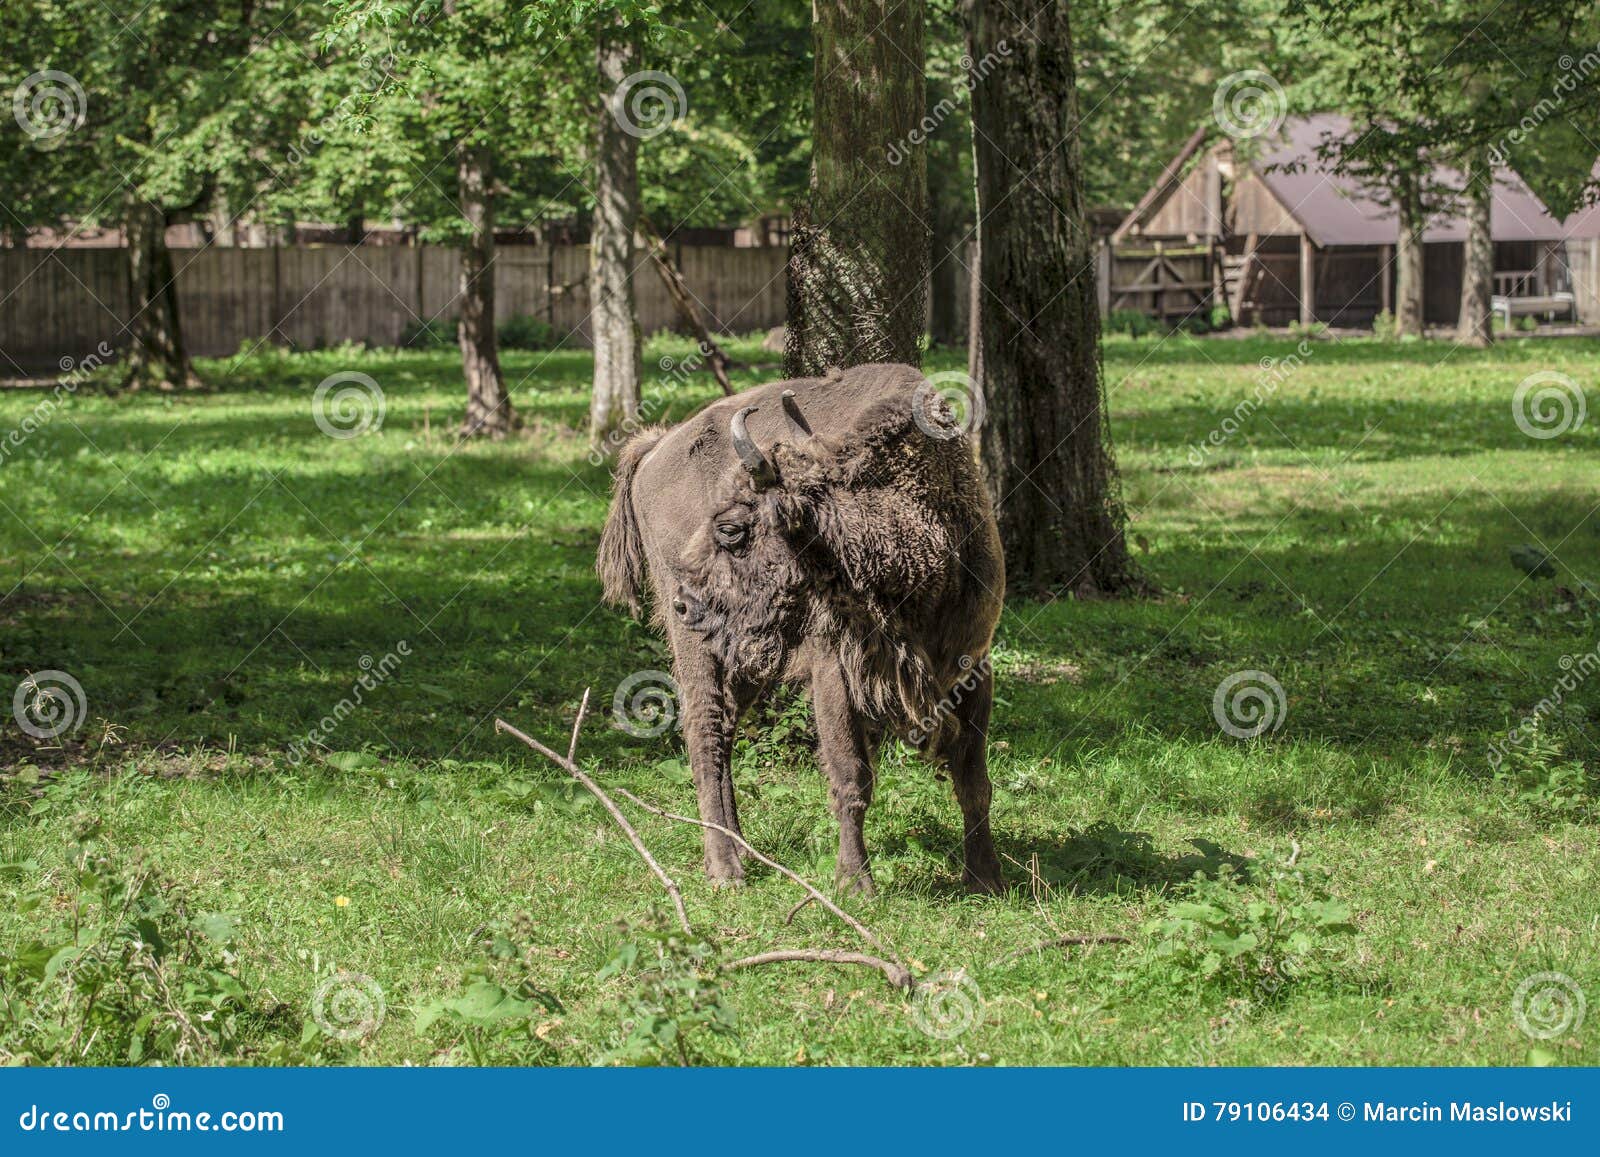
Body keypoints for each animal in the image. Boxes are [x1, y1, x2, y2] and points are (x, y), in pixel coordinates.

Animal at [598, 363, 1006, 895]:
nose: (685, 602)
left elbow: (973, 778)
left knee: (724, 734)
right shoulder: (834, 675)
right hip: (700, 650)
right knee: (704, 735)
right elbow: (852, 779)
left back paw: (742, 850)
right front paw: (855, 884)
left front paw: (986, 878)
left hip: (747, 659)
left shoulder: (975, 664)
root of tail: (655, 448)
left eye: (731, 529)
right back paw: (725, 869)